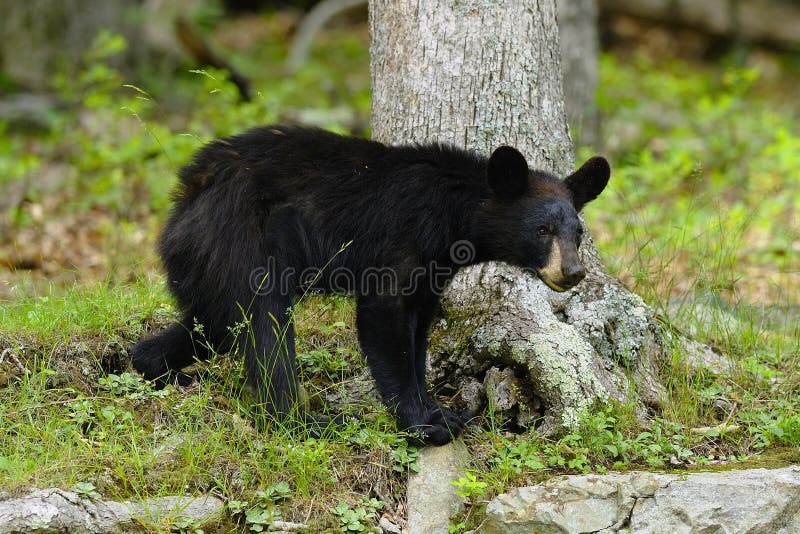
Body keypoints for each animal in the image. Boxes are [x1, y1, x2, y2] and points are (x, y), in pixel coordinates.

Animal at [131, 125, 610, 445]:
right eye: (543, 230)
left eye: (578, 232)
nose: (573, 272)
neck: (454, 217)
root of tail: (182, 202)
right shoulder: (402, 239)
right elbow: (386, 320)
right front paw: (423, 424)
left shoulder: (433, 268)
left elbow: (418, 331)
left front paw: (440, 410)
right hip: (242, 243)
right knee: (266, 328)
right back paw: (304, 421)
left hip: (209, 267)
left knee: (213, 324)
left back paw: (154, 366)